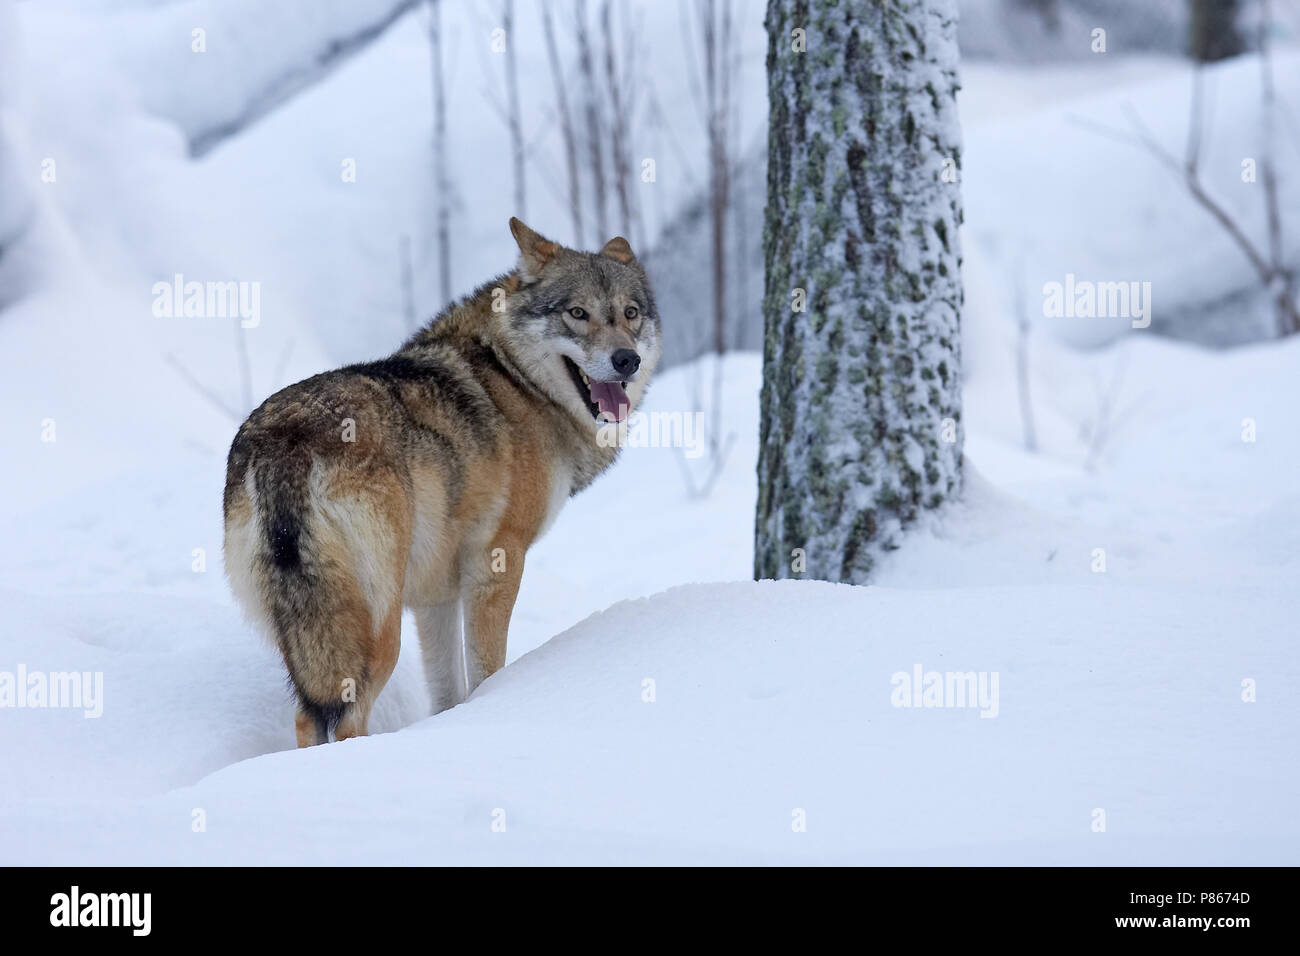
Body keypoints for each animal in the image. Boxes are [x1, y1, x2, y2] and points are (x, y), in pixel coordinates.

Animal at [223, 219, 661, 746]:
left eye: (630, 314)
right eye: (578, 313)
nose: (626, 360)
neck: (515, 379)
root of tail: (287, 438)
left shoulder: (437, 596)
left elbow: (448, 694)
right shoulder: (497, 561)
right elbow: (488, 672)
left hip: (313, 634)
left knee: (308, 715)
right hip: (379, 629)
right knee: (347, 719)